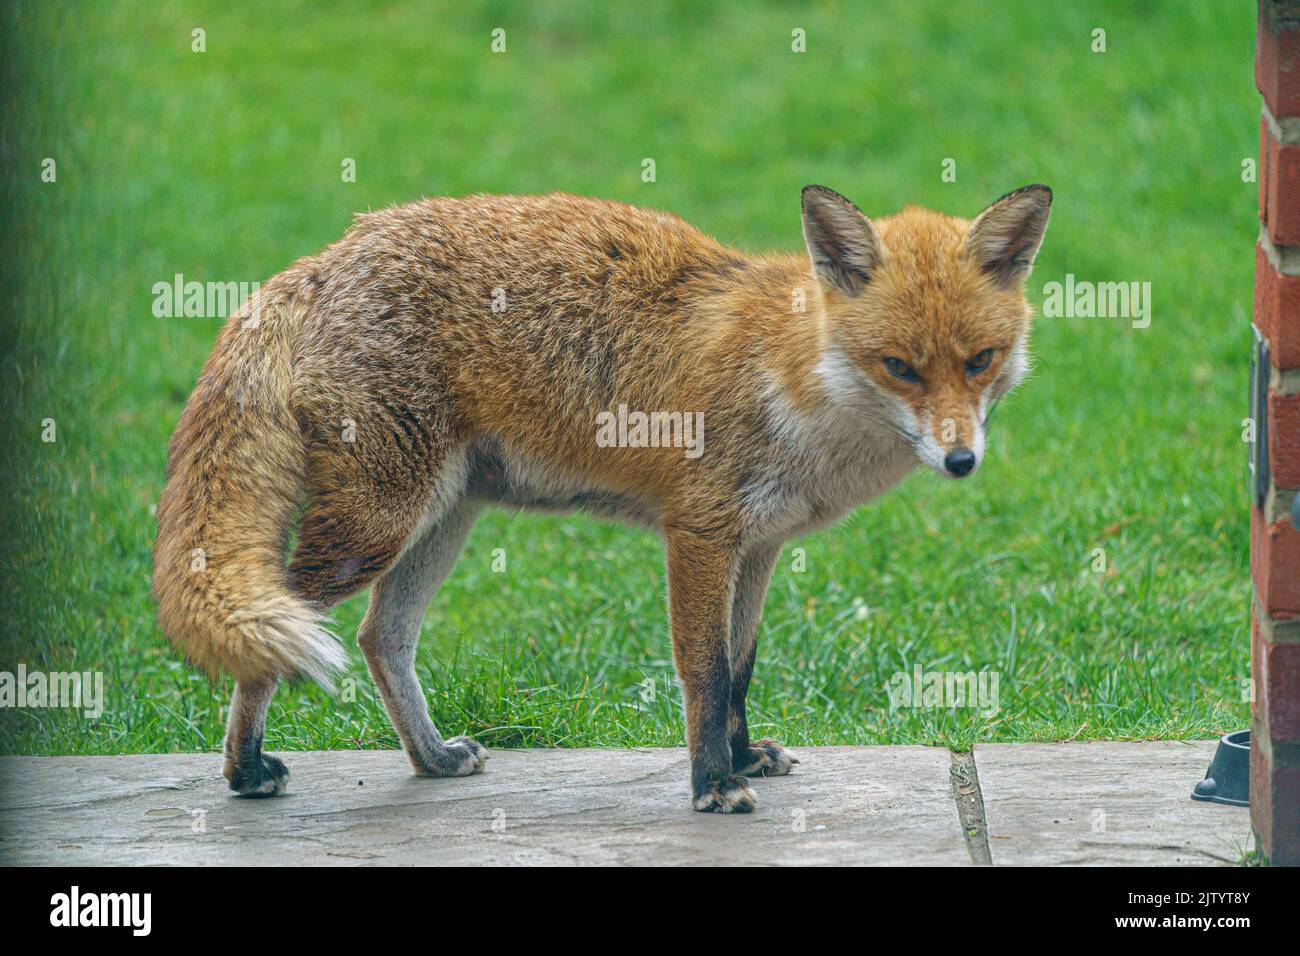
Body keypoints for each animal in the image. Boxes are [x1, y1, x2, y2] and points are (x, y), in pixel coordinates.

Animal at [153, 183, 1051, 813]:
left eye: (980, 359)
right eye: (900, 366)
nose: (961, 459)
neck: (792, 383)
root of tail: (325, 256)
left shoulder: (760, 544)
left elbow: (742, 668)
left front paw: (743, 757)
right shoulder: (699, 534)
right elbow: (704, 671)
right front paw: (712, 786)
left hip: (443, 520)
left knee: (382, 638)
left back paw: (431, 759)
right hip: (375, 527)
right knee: (284, 633)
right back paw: (243, 771)